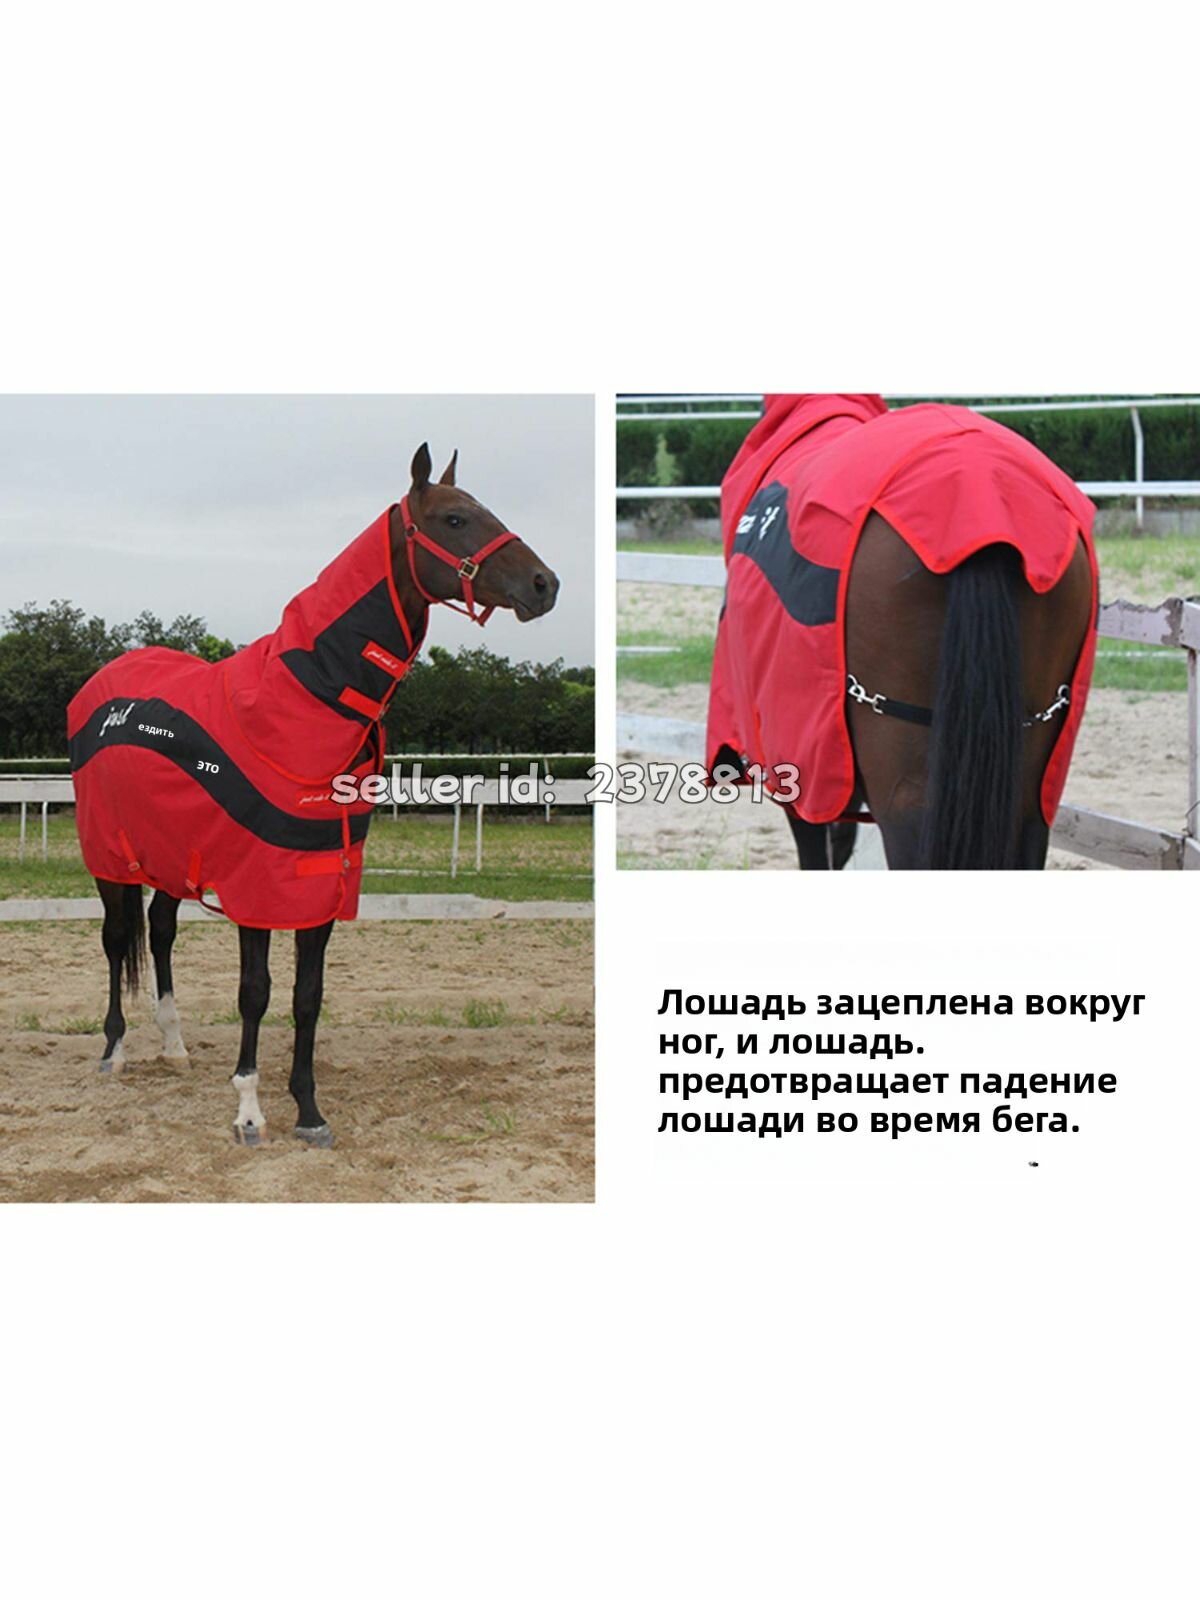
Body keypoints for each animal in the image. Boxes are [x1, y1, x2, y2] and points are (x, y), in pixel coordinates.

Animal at [69, 444, 559, 1146]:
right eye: (455, 518)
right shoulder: (256, 887)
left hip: (171, 853)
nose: (545, 584)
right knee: (116, 940)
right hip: (111, 856)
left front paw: (308, 1110)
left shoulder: (322, 883)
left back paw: (174, 1045)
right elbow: (256, 991)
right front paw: (249, 1111)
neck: (292, 708)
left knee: (159, 932)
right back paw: (114, 1051)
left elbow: (308, 996)